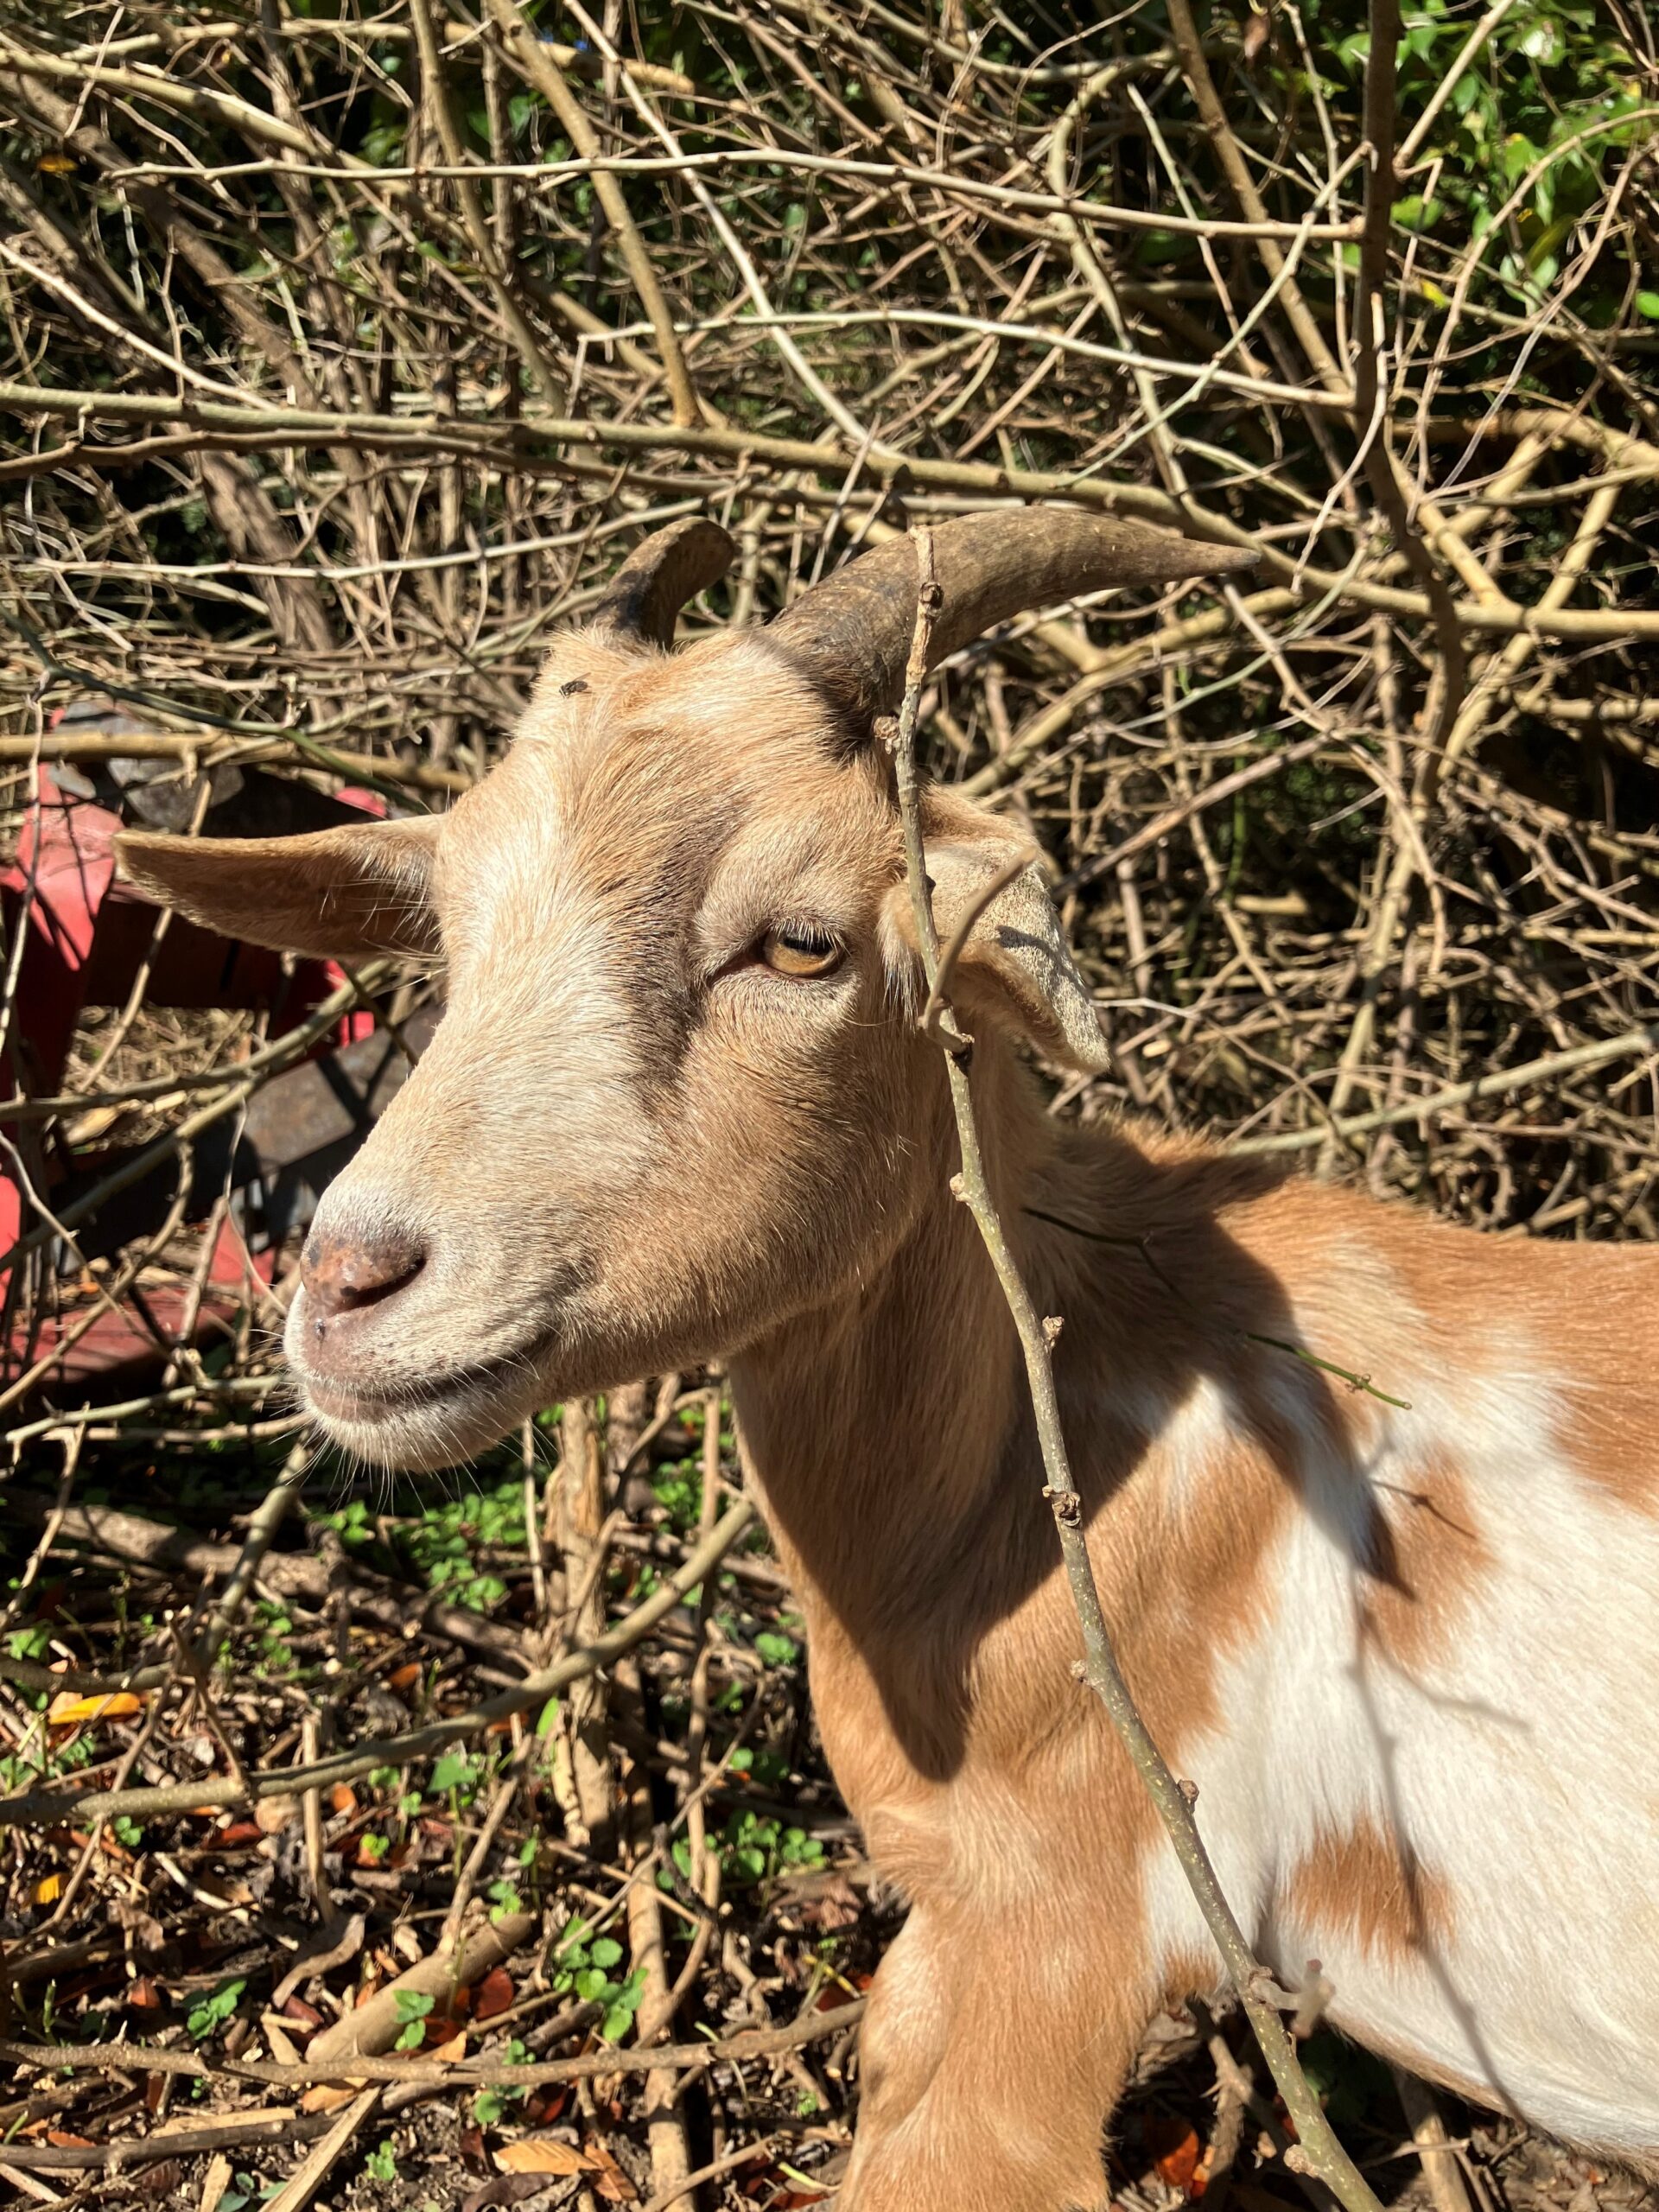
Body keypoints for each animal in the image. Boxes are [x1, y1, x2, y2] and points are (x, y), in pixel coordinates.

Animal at [118, 511, 1659, 2212]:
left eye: (801, 943)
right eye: (449, 933)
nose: (346, 1285)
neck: (1013, 1486)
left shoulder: (1065, 1934)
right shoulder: (944, 1926)